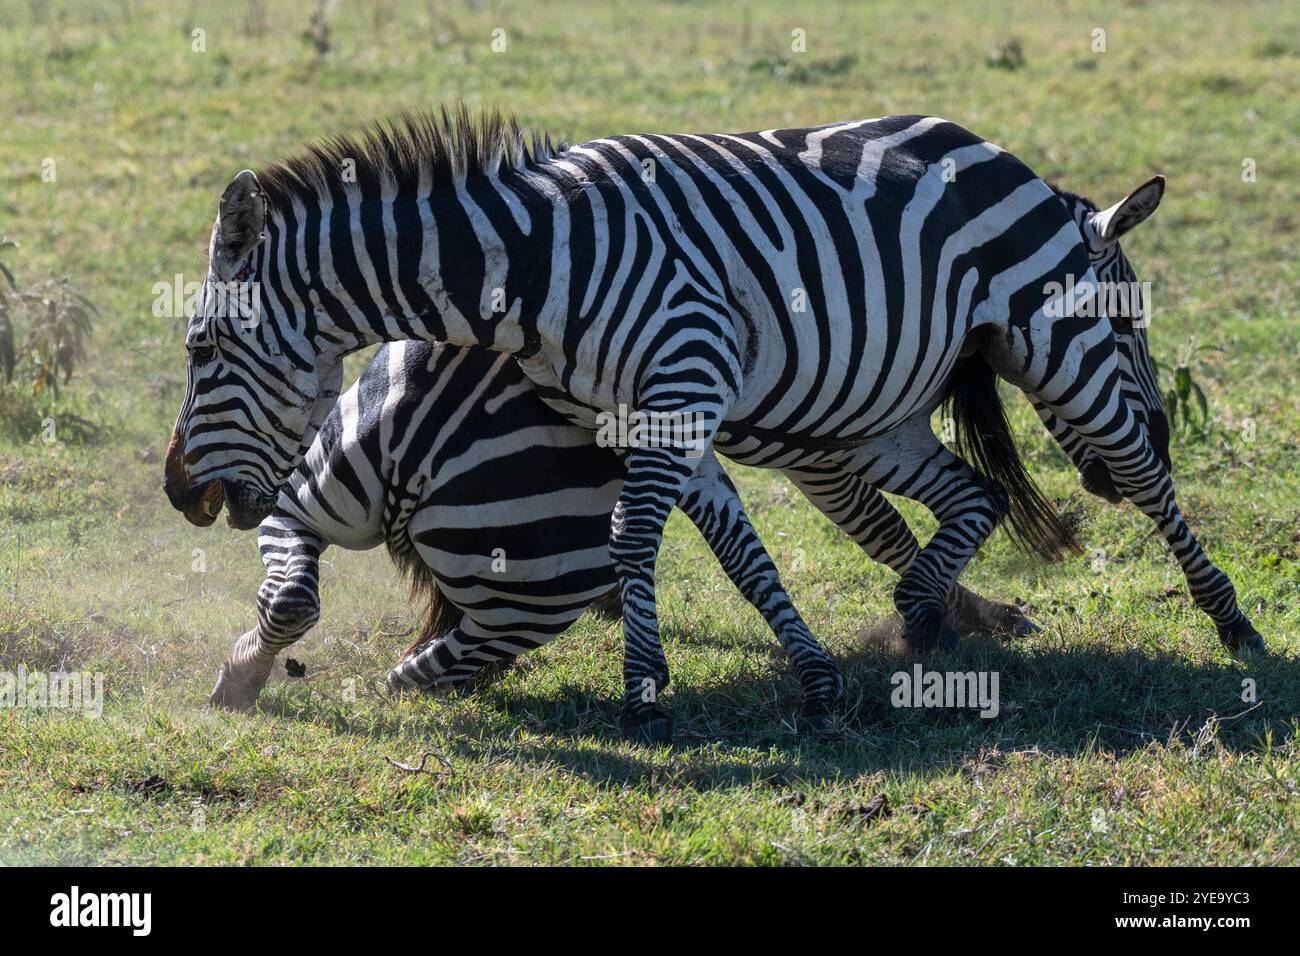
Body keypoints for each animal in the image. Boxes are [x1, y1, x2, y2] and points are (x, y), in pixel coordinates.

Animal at [164, 109, 1265, 744]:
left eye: (199, 345)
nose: (179, 492)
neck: (535, 268)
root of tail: (996, 150)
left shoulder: (682, 382)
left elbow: (636, 539)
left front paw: (645, 688)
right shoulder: (647, 408)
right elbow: (728, 548)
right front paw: (807, 680)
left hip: (1055, 350)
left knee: (1143, 474)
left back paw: (1232, 622)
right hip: (870, 408)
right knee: (972, 495)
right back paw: (925, 610)